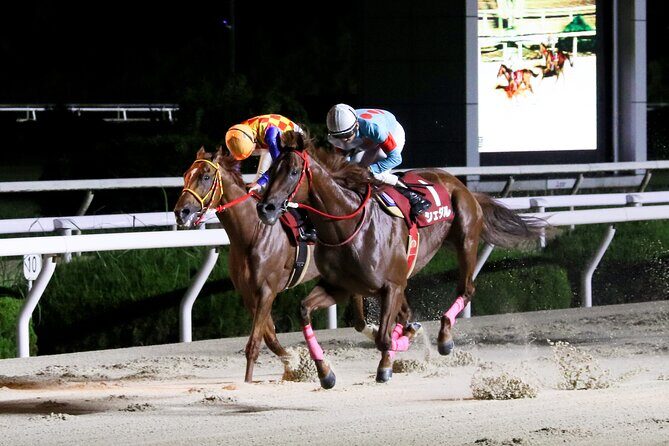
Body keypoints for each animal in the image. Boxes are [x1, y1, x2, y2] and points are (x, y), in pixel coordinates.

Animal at [173, 147, 374, 383]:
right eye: (186, 175)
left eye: (205, 176)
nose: (181, 212)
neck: (253, 232)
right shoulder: (249, 294)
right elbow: (269, 337)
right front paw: (294, 362)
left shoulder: (267, 291)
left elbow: (254, 344)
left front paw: (249, 380)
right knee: (358, 314)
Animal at [256, 132, 546, 387]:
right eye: (272, 170)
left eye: (293, 172)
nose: (266, 208)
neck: (348, 227)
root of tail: (461, 185)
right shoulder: (341, 287)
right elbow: (305, 310)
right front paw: (325, 373)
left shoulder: (392, 286)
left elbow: (384, 338)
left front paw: (400, 345)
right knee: (410, 311)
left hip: (466, 239)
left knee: (466, 289)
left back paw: (443, 337)